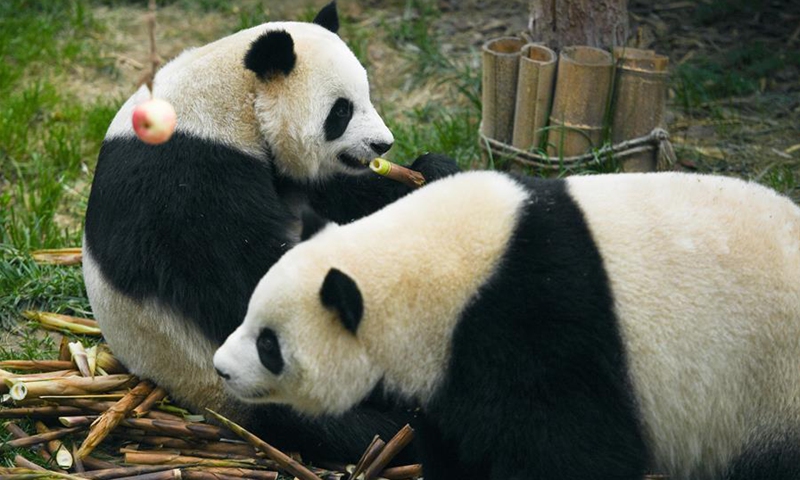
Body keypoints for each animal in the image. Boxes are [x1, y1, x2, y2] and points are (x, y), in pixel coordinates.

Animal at [83, 1, 457, 461]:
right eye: (341, 111)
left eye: (367, 96)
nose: (382, 145)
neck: (228, 101)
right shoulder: (185, 178)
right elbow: (245, 277)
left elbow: (338, 197)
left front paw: (433, 174)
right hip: (220, 378)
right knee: (338, 424)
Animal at [214, 169, 800, 480]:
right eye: (247, 316)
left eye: (269, 345)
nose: (221, 368)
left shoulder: (537, 325)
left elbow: (572, 450)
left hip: (771, 390)